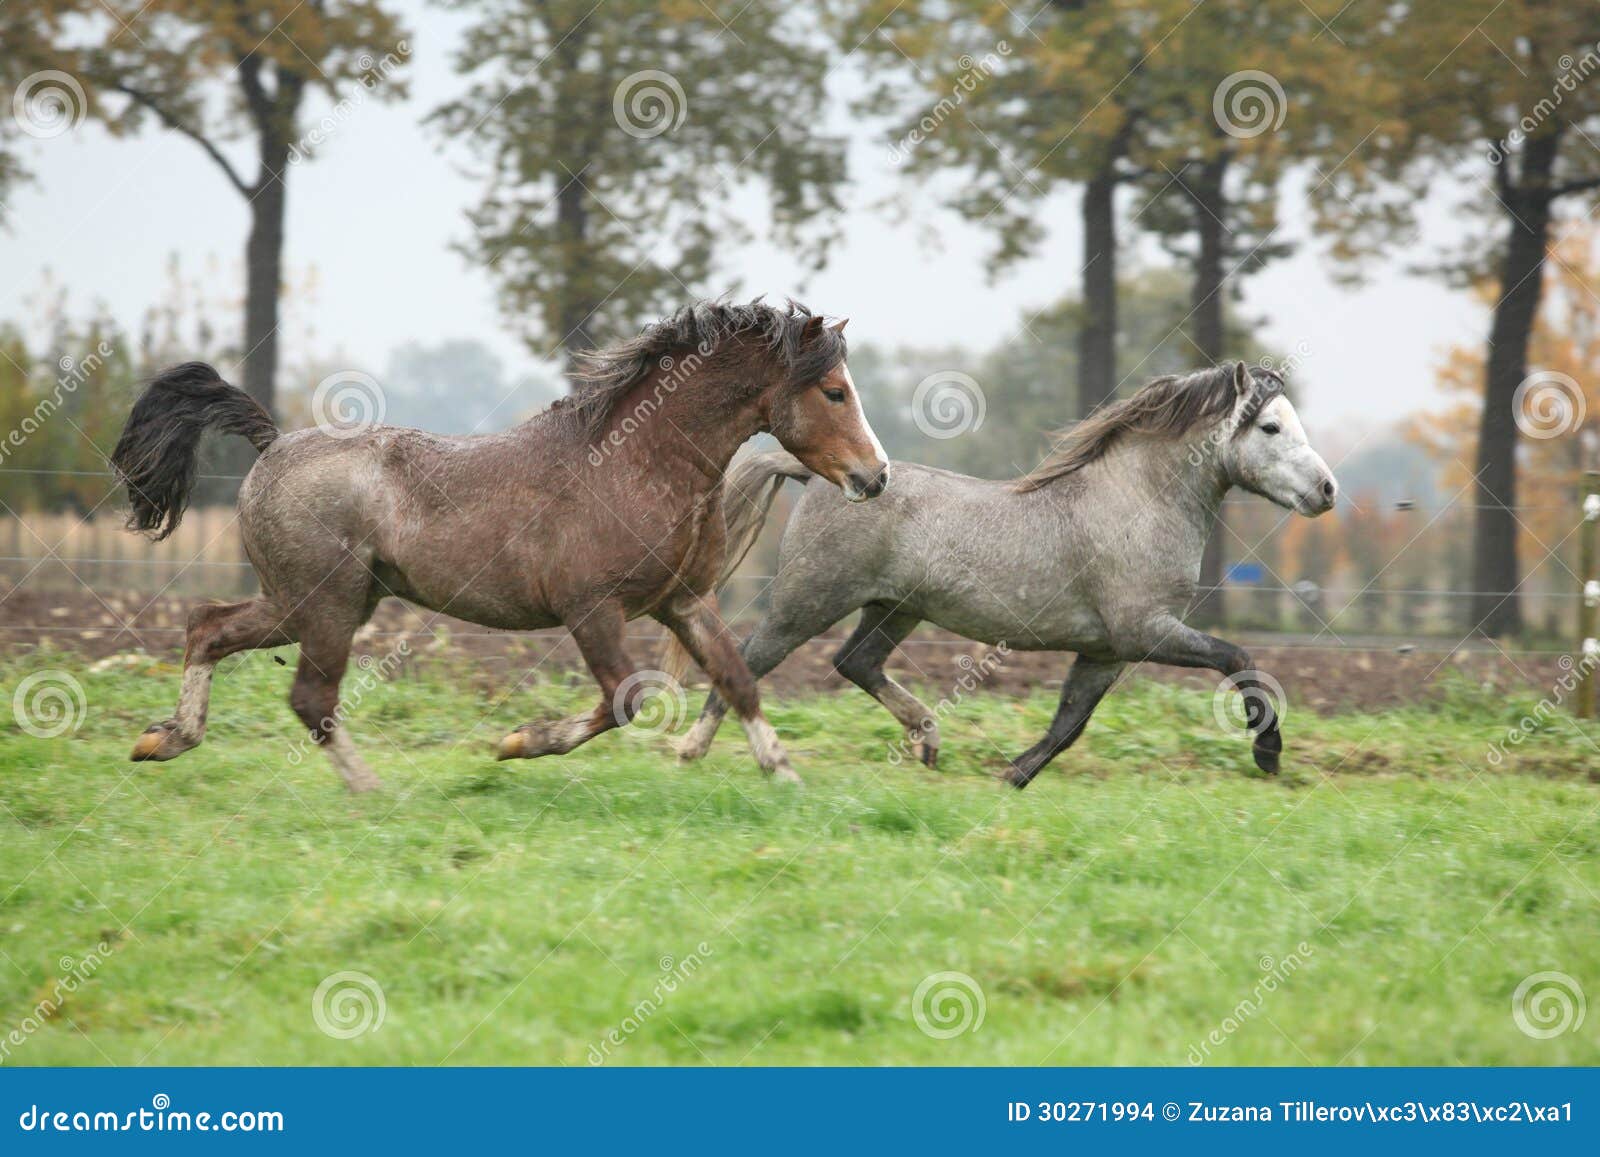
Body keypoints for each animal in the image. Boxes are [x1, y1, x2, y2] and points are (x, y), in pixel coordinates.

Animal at [110, 300, 890, 791]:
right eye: (832, 391)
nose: (876, 475)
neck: (638, 464)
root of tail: (274, 444)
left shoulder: (687, 602)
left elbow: (737, 679)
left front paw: (783, 774)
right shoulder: (592, 610)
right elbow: (626, 698)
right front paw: (519, 742)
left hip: (307, 602)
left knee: (207, 627)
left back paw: (164, 739)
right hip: (325, 605)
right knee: (310, 697)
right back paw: (373, 790)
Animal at [669, 361, 1337, 786]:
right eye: (1270, 426)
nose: (1327, 491)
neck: (1135, 502)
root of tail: (825, 476)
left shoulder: (1107, 650)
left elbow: (1069, 721)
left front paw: (1011, 777)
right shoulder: (1147, 631)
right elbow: (1239, 659)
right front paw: (1268, 755)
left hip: (894, 609)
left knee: (854, 662)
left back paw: (929, 740)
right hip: (807, 602)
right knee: (747, 661)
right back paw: (695, 751)